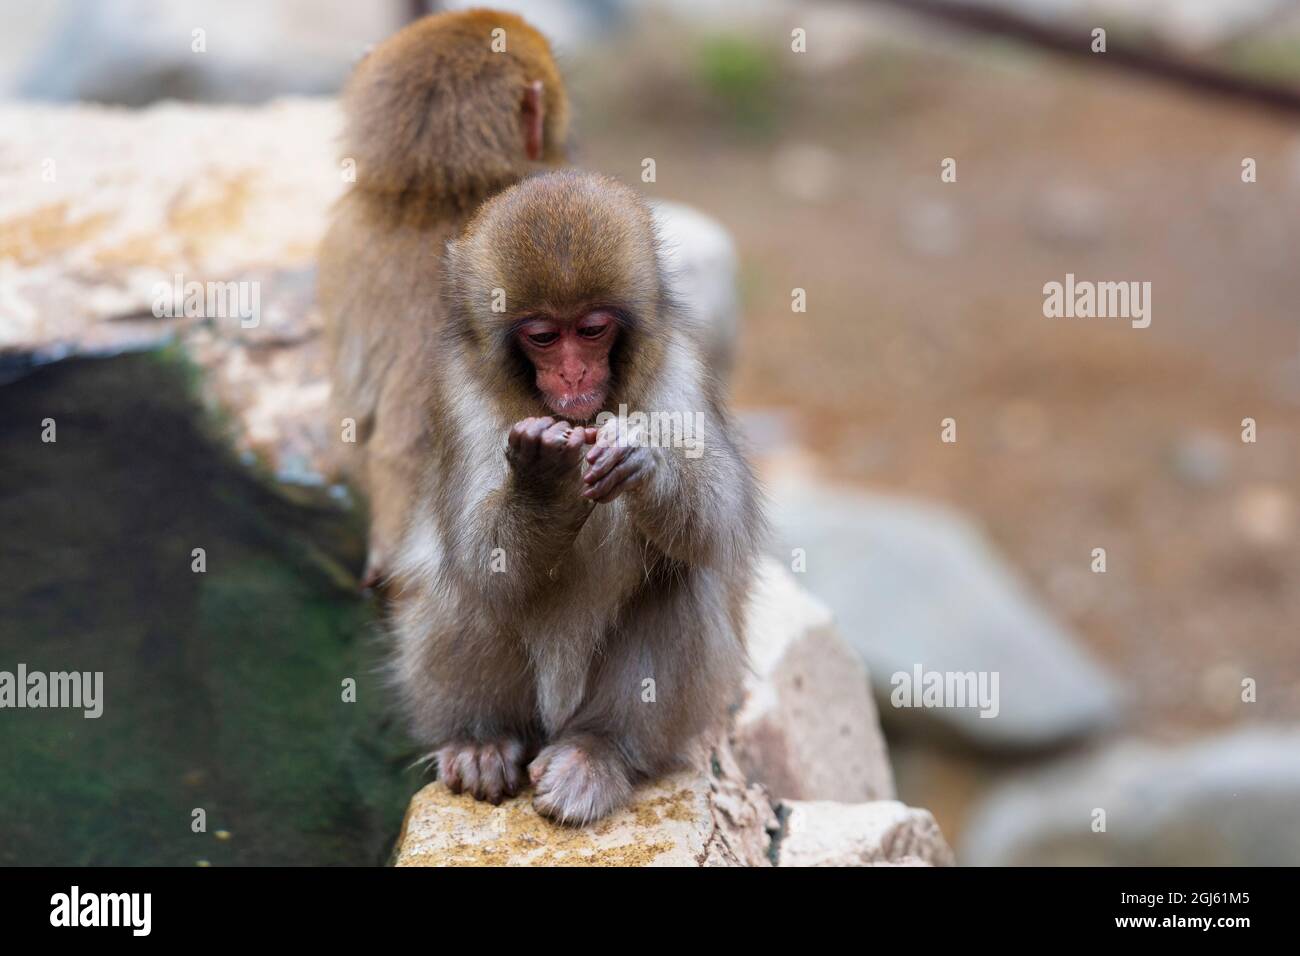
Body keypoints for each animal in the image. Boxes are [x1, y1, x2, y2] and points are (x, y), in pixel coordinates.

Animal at [389, 170, 764, 825]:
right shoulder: (457, 395)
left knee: (679, 577)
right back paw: (482, 741)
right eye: (543, 335)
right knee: (465, 586)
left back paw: (598, 752)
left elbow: (723, 519)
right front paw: (543, 482)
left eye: (591, 329)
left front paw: (646, 463)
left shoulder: (680, 368)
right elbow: (479, 556)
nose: (571, 376)